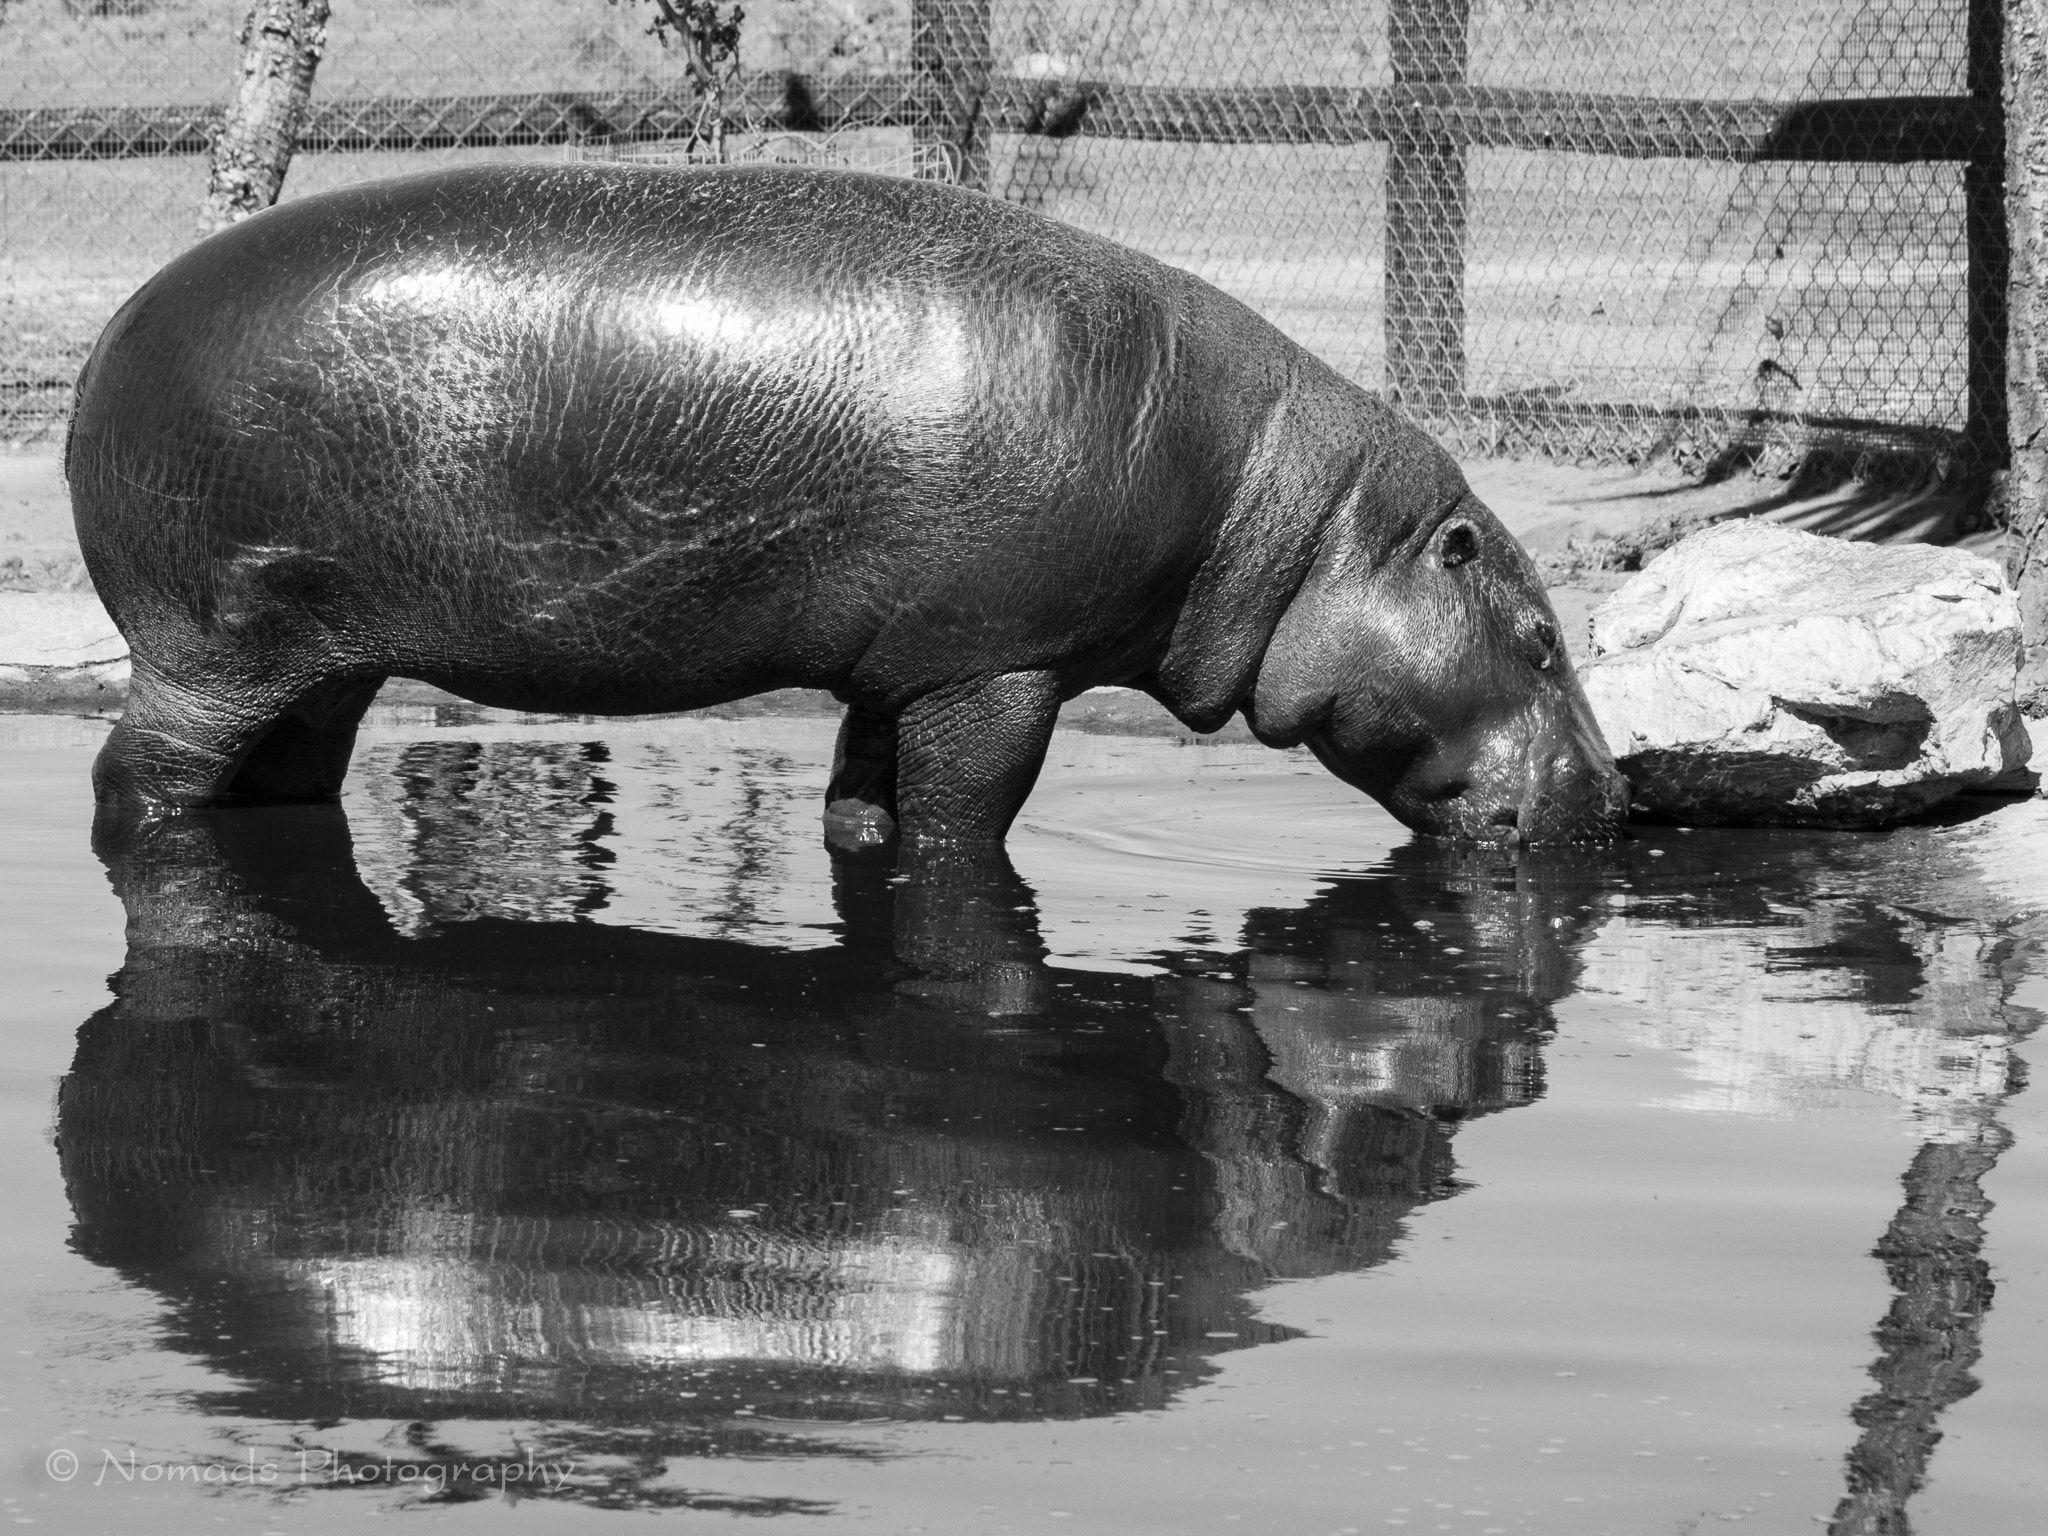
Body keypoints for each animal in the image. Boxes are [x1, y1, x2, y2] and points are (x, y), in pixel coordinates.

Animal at [67, 162, 1624, 850]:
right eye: (1543, 642)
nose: (1615, 793)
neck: (1290, 520)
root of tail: (112, 334)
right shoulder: (999, 670)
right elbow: (960, 826)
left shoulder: (905, 664)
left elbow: (860, 812)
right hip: (211, 644)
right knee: (138, 780)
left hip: (325, 660)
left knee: (290, 774)